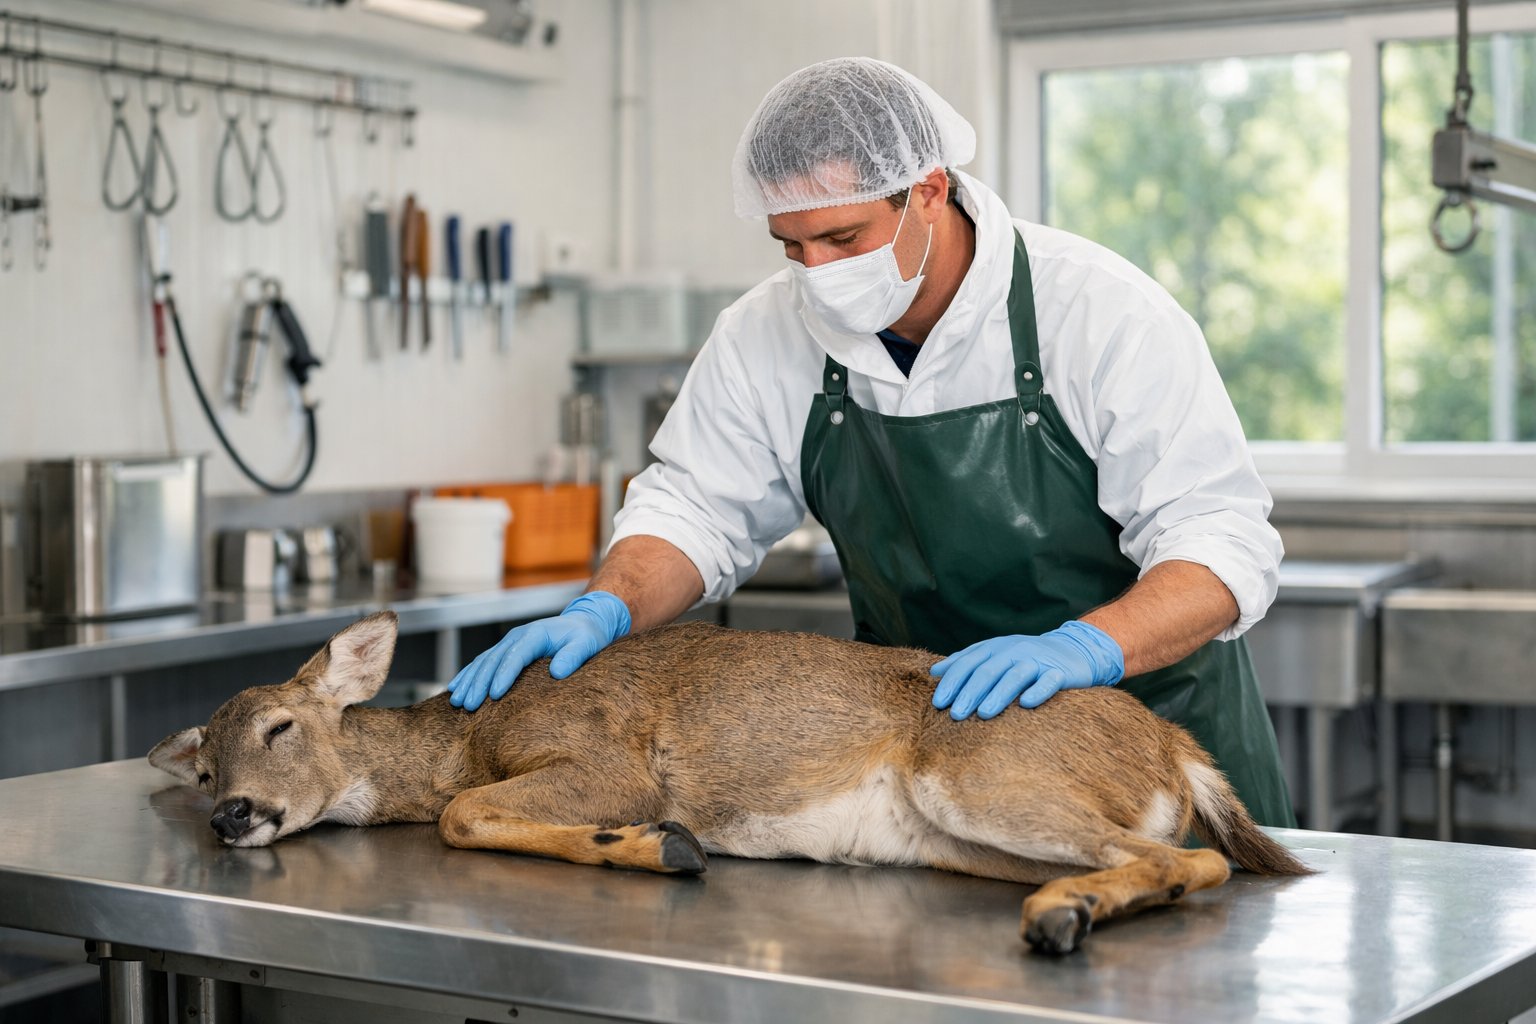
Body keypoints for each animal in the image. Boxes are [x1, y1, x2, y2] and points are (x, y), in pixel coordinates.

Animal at [148, 610, 1310, 955]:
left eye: (283, 725)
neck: (463, 735)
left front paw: (650, 844)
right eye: (204, 761)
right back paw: (1068, 906)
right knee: (1174, 858)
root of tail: (1172, 745)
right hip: (964, 835)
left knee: (1191, 858)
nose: (233, 813)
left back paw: (1061, 915)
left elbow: (464, 817)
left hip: (984, 776)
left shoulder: (605, 754)